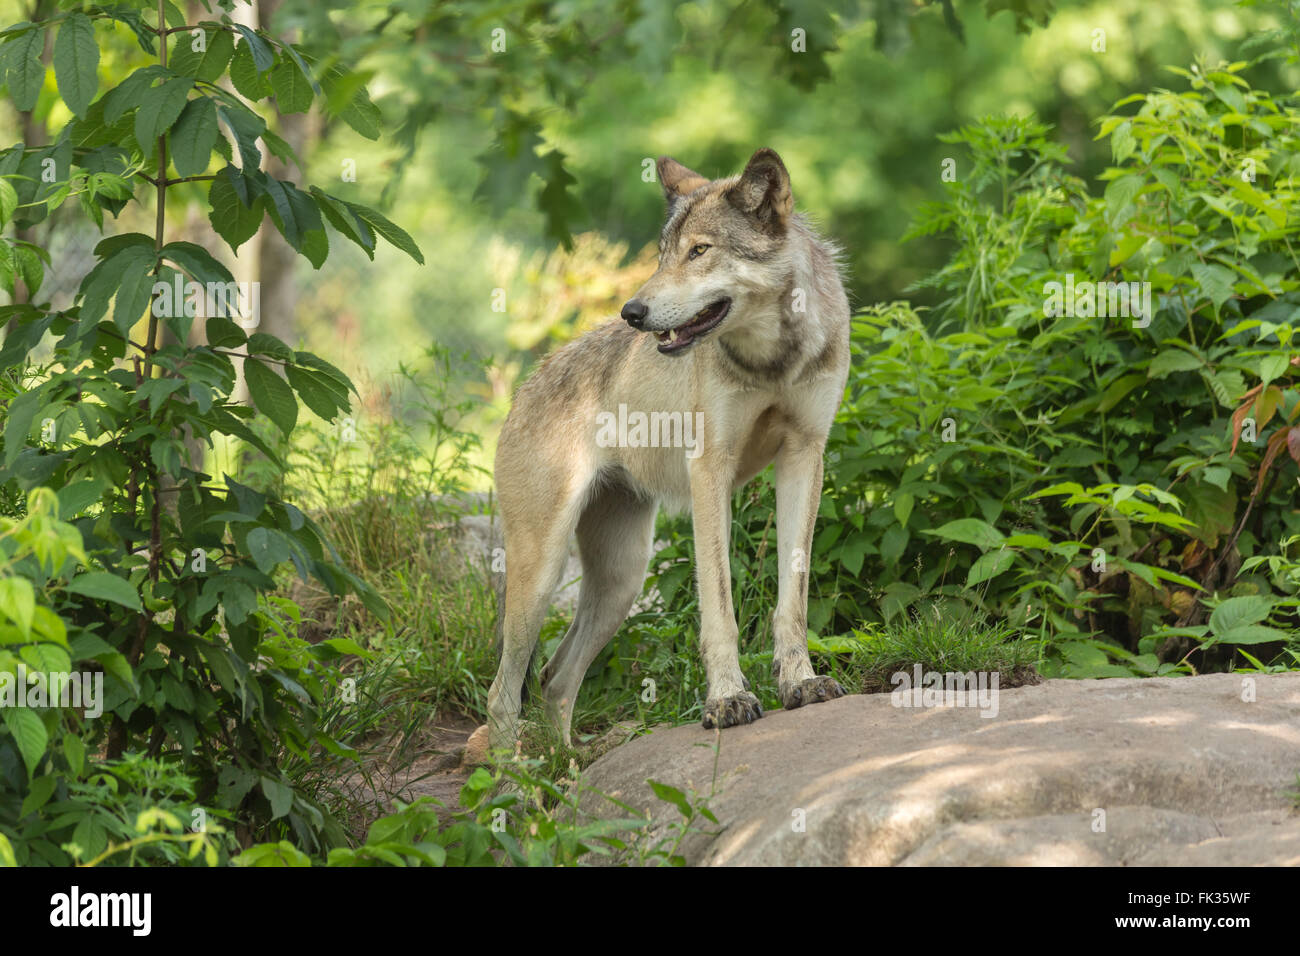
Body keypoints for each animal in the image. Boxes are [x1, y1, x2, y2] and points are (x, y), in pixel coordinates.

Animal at [486, 148, 851, 752]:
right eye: (662, 256)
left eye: (699, 251)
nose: (632, 312)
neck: (771, 360)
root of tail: (524, 388)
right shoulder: (710, 471)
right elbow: (720, 609)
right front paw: (727, 701)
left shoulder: (805, 455)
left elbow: (792, 598)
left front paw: (801, 683)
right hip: (542, 572)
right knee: (504, 691)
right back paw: (511, 774)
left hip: (622, 580)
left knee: (554, 678)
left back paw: (566, 771)